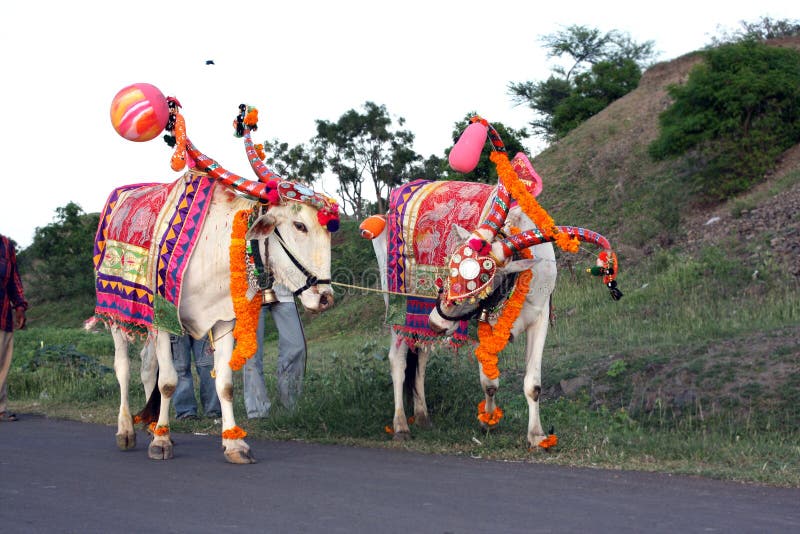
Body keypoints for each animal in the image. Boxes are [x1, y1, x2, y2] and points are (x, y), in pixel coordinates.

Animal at [90, 105, 339, 464]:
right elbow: (168, 381)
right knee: (123, 366)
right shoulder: (165, 320)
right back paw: (127, 430)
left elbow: (224, 383)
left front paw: (234, 444)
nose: (325, 298)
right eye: (300, 225)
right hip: (116, 314)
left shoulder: (223, 321)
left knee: (146, 366)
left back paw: (151, 425)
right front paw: (161, 442)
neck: (214, 249)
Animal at [361, 116, 620, 449]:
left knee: (421, 355)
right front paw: (487, 422)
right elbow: (489, 381)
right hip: (396, 303)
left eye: (482, 283)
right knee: (398, 359)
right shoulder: (480, 325)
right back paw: (401, 424)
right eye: (450, 271)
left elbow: (533, 384)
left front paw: (537, 435)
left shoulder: (540, 318)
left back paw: (422, 415)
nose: (436, 322)